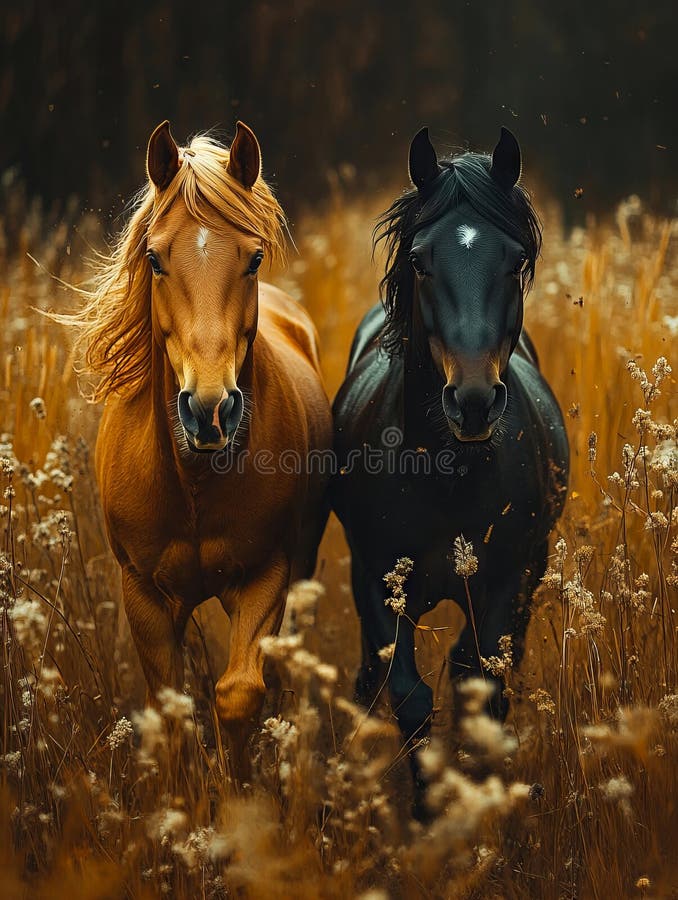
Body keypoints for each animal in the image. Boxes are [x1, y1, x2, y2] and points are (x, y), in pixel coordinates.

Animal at [65, 120, 332, 776]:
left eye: (254, 257)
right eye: (154, 258)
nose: (210, 409)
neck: (194, 479)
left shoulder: (268, 575)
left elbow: (238, 695)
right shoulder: (143, 592)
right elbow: (170, 706)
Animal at [331, 126, 569, 813]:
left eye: (515, 260)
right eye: (418, 260)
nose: (472, 400)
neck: (448, 476)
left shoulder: (511, 578)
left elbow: (480, 682)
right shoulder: (379, 578)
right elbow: (409, 694)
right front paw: (425, 810)